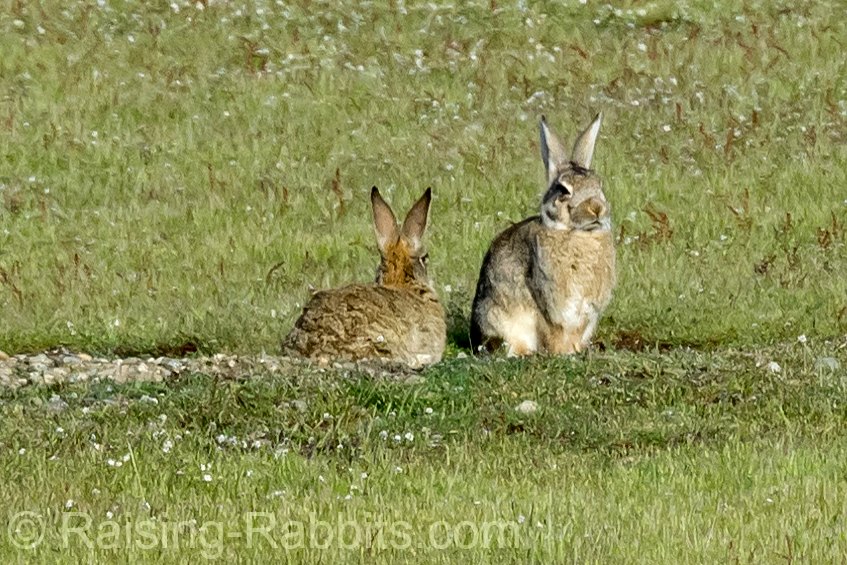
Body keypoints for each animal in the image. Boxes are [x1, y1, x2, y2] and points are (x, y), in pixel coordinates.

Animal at [470, 113, 615, 356]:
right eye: (563, 190)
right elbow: (554, 330)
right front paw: (561, 353)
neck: (578, 234)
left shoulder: (587, 313)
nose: (596, 207)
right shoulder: (549, 304)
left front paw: (575, 351)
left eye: (599, 184)